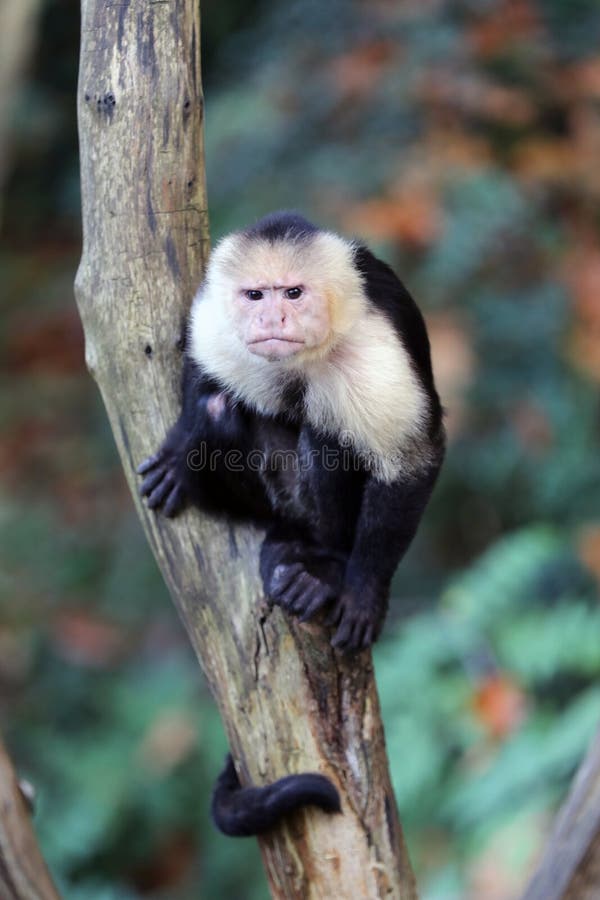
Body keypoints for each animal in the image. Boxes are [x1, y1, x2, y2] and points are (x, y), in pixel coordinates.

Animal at [137, 211, 445, 836]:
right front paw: (181, 455)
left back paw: (319, 563)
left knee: (330, 430)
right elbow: (200, 369)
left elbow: (410, 461)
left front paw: (362, 588)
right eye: (256, 295)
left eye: (293, 293)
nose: (271, 317)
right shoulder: (218, 319)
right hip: (267, 496)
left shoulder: (375, 353)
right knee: (222, 404)